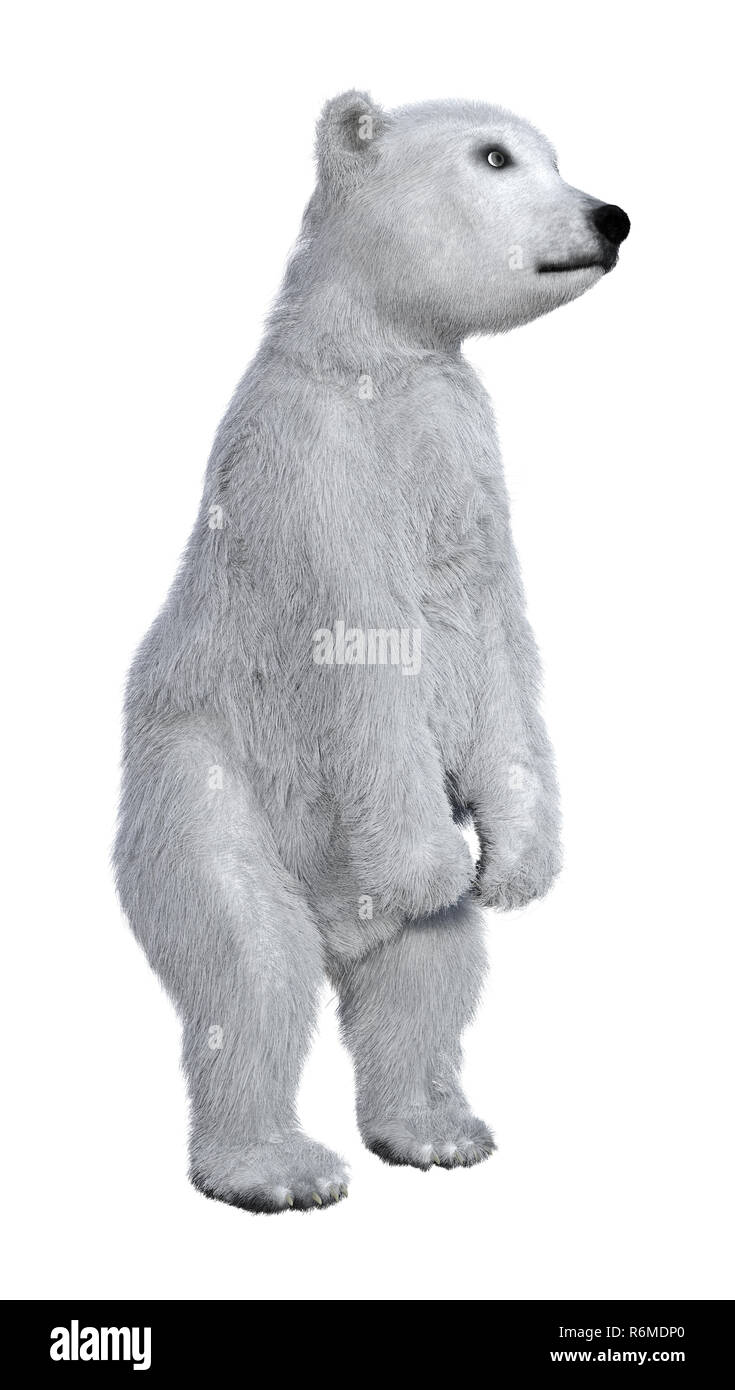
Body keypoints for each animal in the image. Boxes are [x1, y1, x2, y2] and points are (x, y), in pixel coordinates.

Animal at [114, 92, 629, 1212]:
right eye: (494, 157)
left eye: (552, 153)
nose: (610, 216)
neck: (375, 360)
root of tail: (340, 919)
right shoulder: (319, 474)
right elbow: (368, 659)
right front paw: (434, 857)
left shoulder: (466, 468)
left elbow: (502, 648)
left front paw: (520, 863)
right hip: (203, 794)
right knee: (249, 969)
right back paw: (277, 1167)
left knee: (426, 977)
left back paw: (434, 1128)